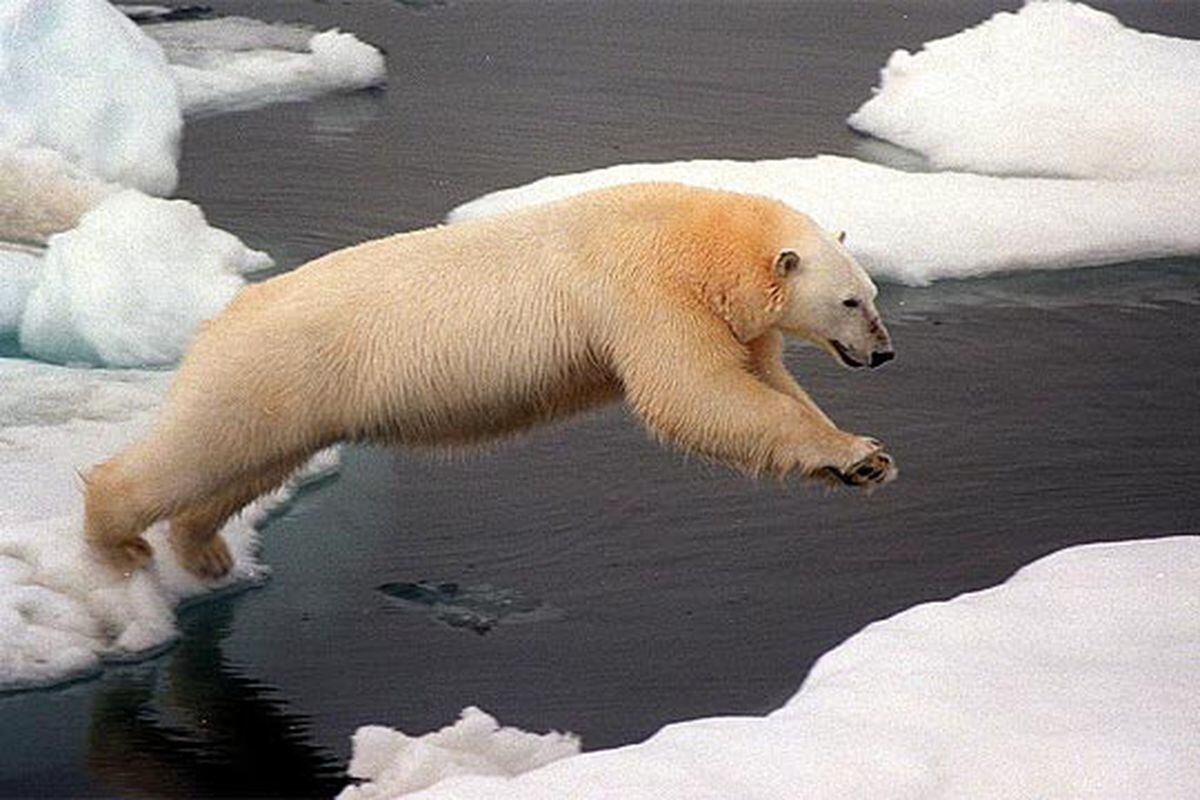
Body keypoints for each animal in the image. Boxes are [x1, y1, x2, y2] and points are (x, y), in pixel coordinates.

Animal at [84, 182, 897, 580]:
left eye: (872, 294)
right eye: (851, 302)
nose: (884, 353)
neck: (703, 238)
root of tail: (217, 319)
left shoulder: (728, 315)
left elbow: (761, 380)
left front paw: (863, 459)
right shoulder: (645, 291)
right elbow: (694, 393)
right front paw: (857, 453)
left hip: (292, 395)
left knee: (248, 465)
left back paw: (204, 550)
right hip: (273, 368)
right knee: (199, 448)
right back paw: (117, 541)